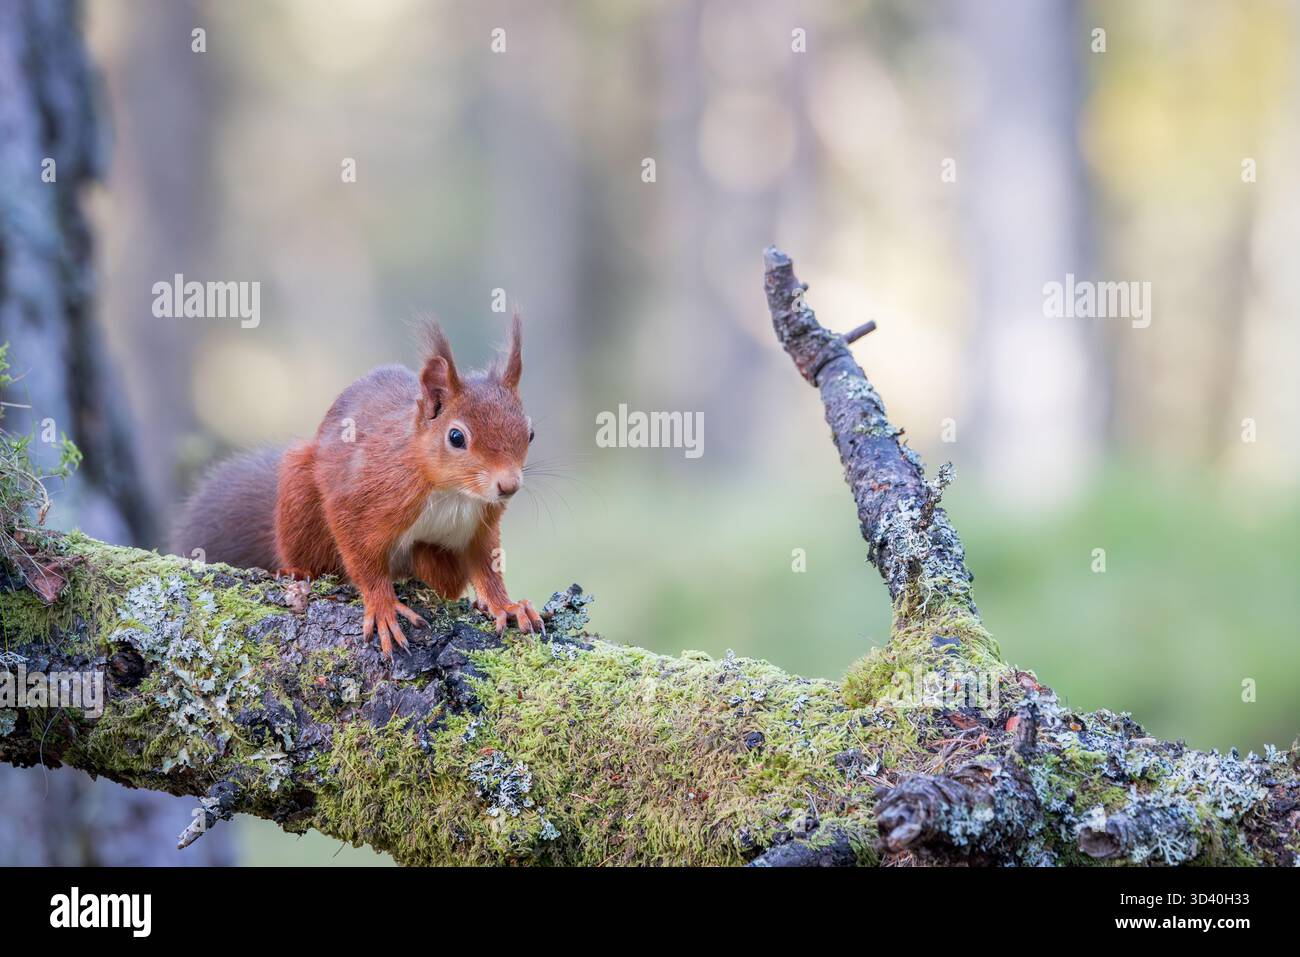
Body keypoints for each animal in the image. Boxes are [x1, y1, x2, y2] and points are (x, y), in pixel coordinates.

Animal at [172, 316, 545, 656]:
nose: (508, 485)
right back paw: (296, 571)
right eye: (456, 437)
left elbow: (487, 564)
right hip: (299, 495)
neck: (451, 492)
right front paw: (382, 606)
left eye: (530, 433)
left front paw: (505, 605)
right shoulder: (365, 492)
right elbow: (360, 554)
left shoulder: (480, 524)